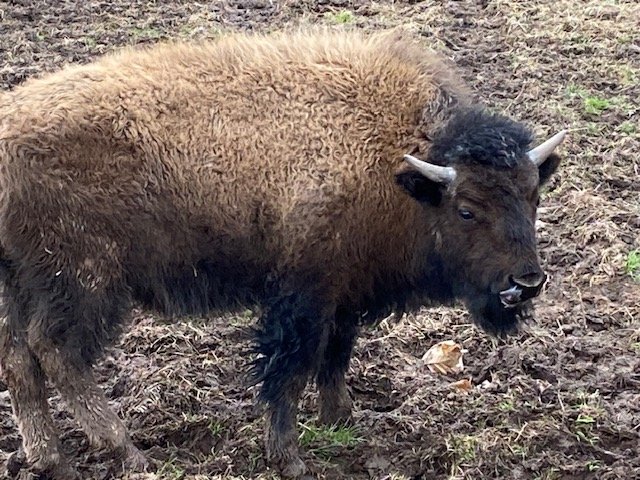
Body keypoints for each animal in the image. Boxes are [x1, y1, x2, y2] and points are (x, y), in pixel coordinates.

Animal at [0, 29, 565, 478]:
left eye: (534, 196)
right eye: (467, 210)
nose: (527, 284)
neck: (401, 166)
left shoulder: (345, 292)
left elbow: (336, 356)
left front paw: (342, 420)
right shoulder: (303, 295)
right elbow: (289, 370)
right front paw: (288, 457)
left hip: (22, 286)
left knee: (19, 361)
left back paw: (49, 459)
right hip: (85, 282)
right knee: (57, 355)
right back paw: (126, 452)